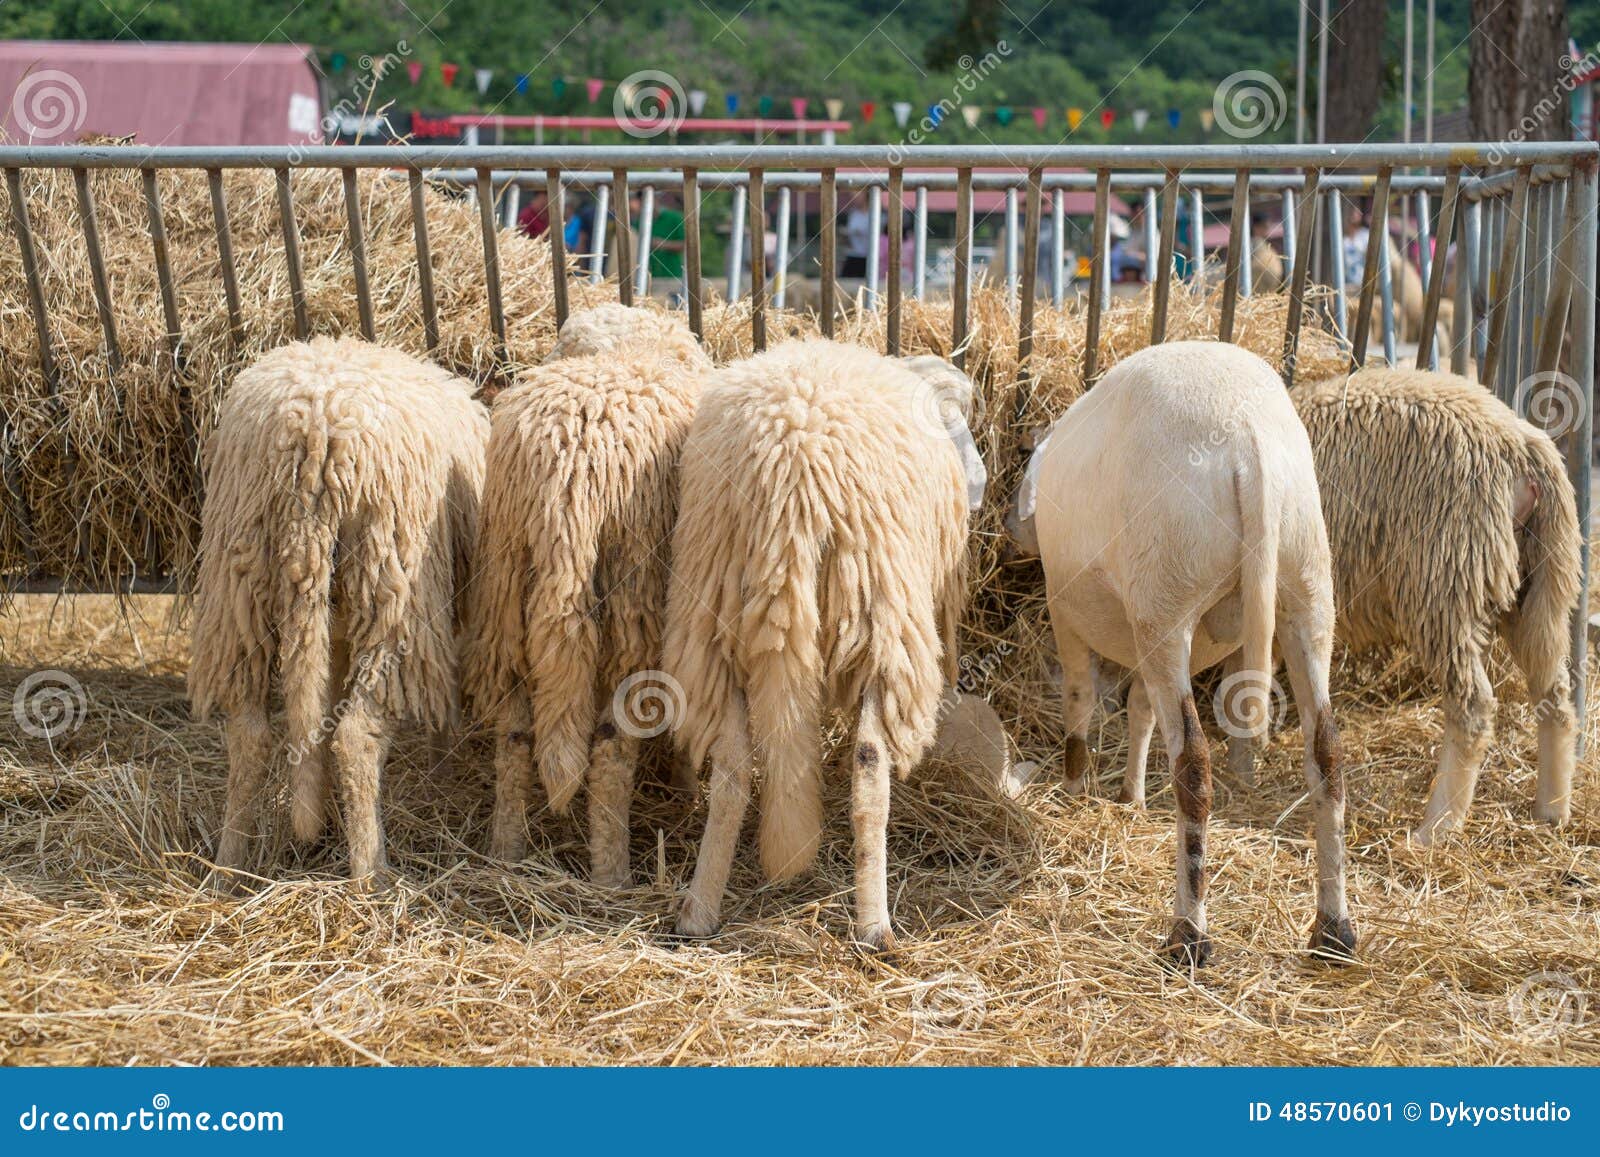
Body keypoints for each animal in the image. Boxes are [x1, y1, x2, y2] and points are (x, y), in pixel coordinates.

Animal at [189, 338, 488, 888]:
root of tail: (313, 436)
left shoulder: (335, 628)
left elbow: (321, 713)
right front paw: (441, 771)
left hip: (238, 582)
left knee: (250, 737)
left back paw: (228, 866)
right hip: (393, 587)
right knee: (357, 737)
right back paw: (373, 874)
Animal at [463, 304, 711, 886]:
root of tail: (567, 473)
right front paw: (685, 785)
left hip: (505, 585)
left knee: (514, 737)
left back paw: (504, 853)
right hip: (631, 600)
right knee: (610, 746)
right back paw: (612, 874)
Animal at [664, 341, 980, 949]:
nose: (976, 483)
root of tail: (794, 469)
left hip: (710, 616)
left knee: (733, 768)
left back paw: (697, 911)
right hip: (885, 610)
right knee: (870, 766)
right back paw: (875, 926)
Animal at [1012, 341, 1352, 966]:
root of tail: (1248, 438)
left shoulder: (1066, 613)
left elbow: (1079, 702)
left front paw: (1076, 789)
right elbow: (1142, 710)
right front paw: (1130, 798)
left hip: (1167, 598)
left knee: (1194, 763)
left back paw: (1189, 933)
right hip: (1307, 589)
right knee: (1328, 754)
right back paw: (1334, 930)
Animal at [1286, 366, 1581, 843]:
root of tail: (1522, 450)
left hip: (1445, 584)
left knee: (1473, 708)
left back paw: (1436, 827)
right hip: (1542, 585)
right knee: (1554, 695)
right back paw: (1552, 810)